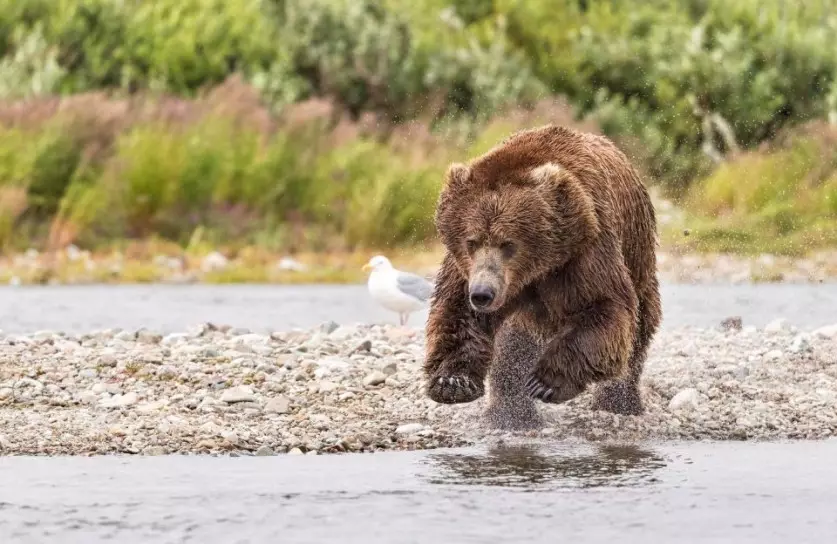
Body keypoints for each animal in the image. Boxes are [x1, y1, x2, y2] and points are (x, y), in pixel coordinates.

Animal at [424, 125, 660, 422]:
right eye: (472, 241)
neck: (535, 269)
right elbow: (458, 311)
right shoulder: (465, 269)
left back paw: (619, 401)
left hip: (638, 258)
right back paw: (511, 415)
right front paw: (452, 382)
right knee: (515, 342)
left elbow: (602, 305)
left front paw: (546, 382)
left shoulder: (584, 248)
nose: (482, 294)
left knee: (640, 327)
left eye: (508, 243)